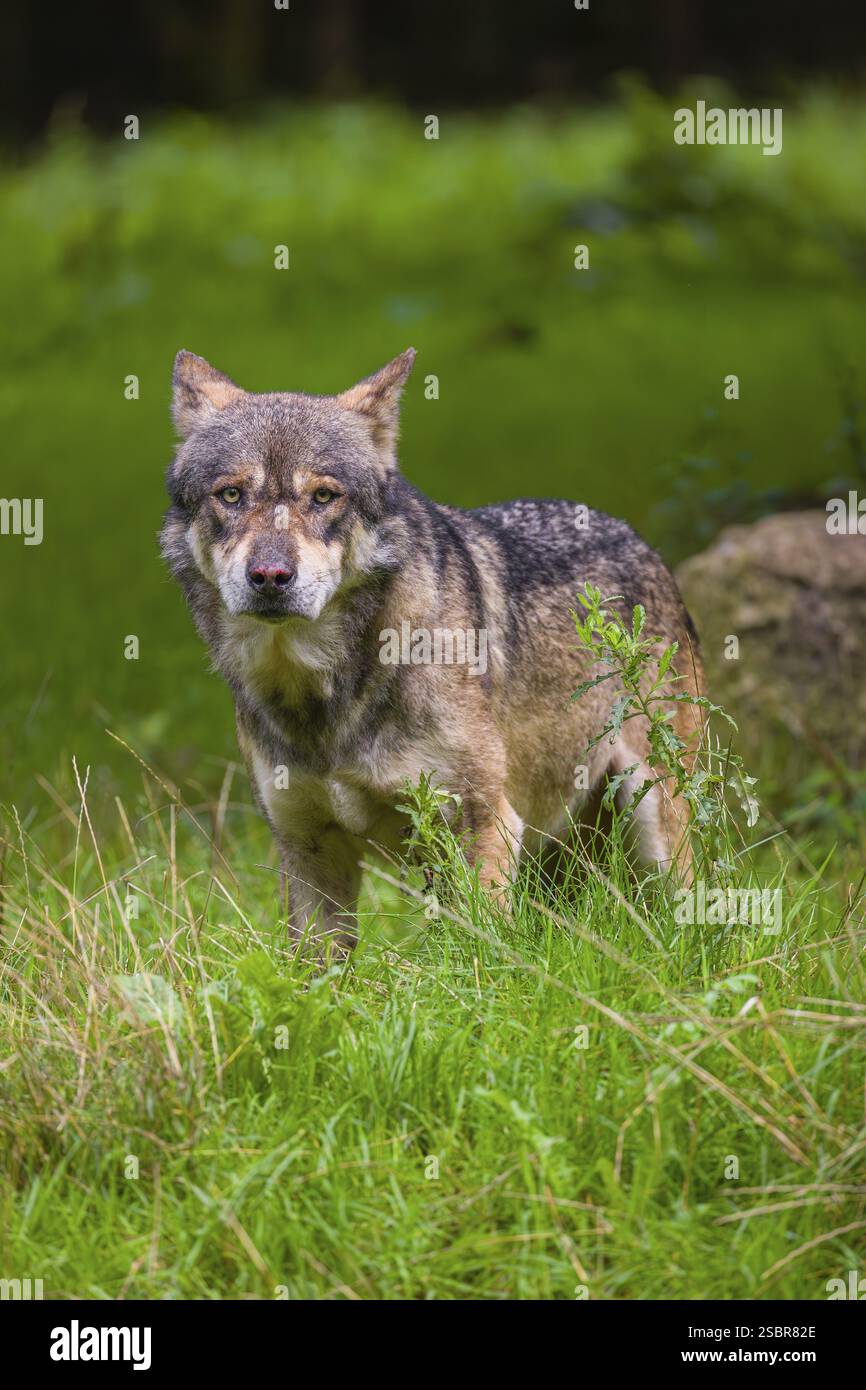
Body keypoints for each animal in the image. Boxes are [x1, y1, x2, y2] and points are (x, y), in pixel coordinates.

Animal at [161, 348, 704, 950]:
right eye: (231, 495)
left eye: (324, 496)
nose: (271, 576)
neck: (325, 697)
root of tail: (637, 539)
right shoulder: (306, 849)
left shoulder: (482, 824)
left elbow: (481, 954)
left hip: (654, 824)